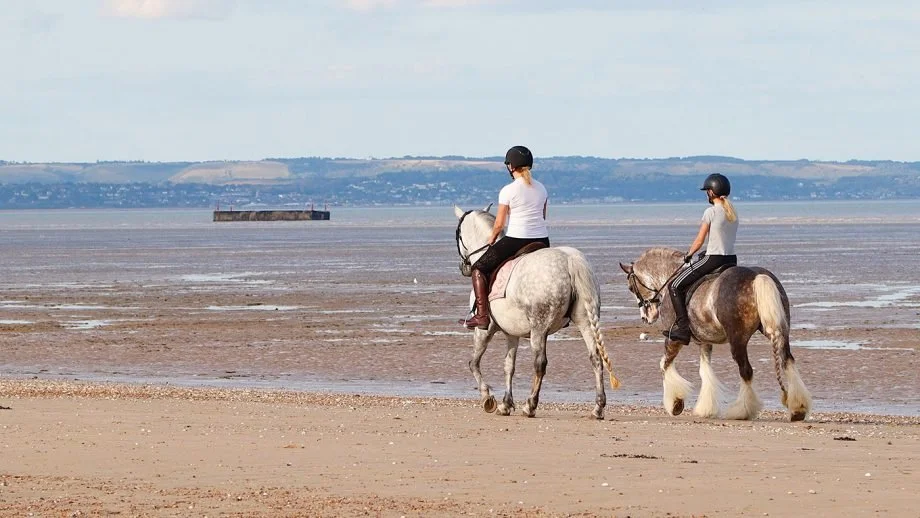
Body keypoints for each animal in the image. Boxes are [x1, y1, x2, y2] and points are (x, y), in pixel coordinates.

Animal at [454, 205, 620, 419]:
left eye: (458, 234)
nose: (463, 267)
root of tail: (571, 261)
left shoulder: (484, 329)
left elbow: (473, 363)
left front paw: (488, 398)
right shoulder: (511, 333)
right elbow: (509, 366)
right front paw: (506, 404)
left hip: (539, 327)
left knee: (540, 363)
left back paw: (530, 405)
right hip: (585, 320)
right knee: (596, 358)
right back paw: (597, 408)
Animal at [619, 247, 812, 421]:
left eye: (630, 287)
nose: (645, 317)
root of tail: (756, 276)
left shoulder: (673, 339)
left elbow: (664, 364)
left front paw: (676, 403)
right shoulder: (704, 341)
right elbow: (704, 370)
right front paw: (706, 408)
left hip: (737, 340)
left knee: (746, 371)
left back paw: (742, 411)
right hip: (781, 332)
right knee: (787, 360)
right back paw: (798, 408)